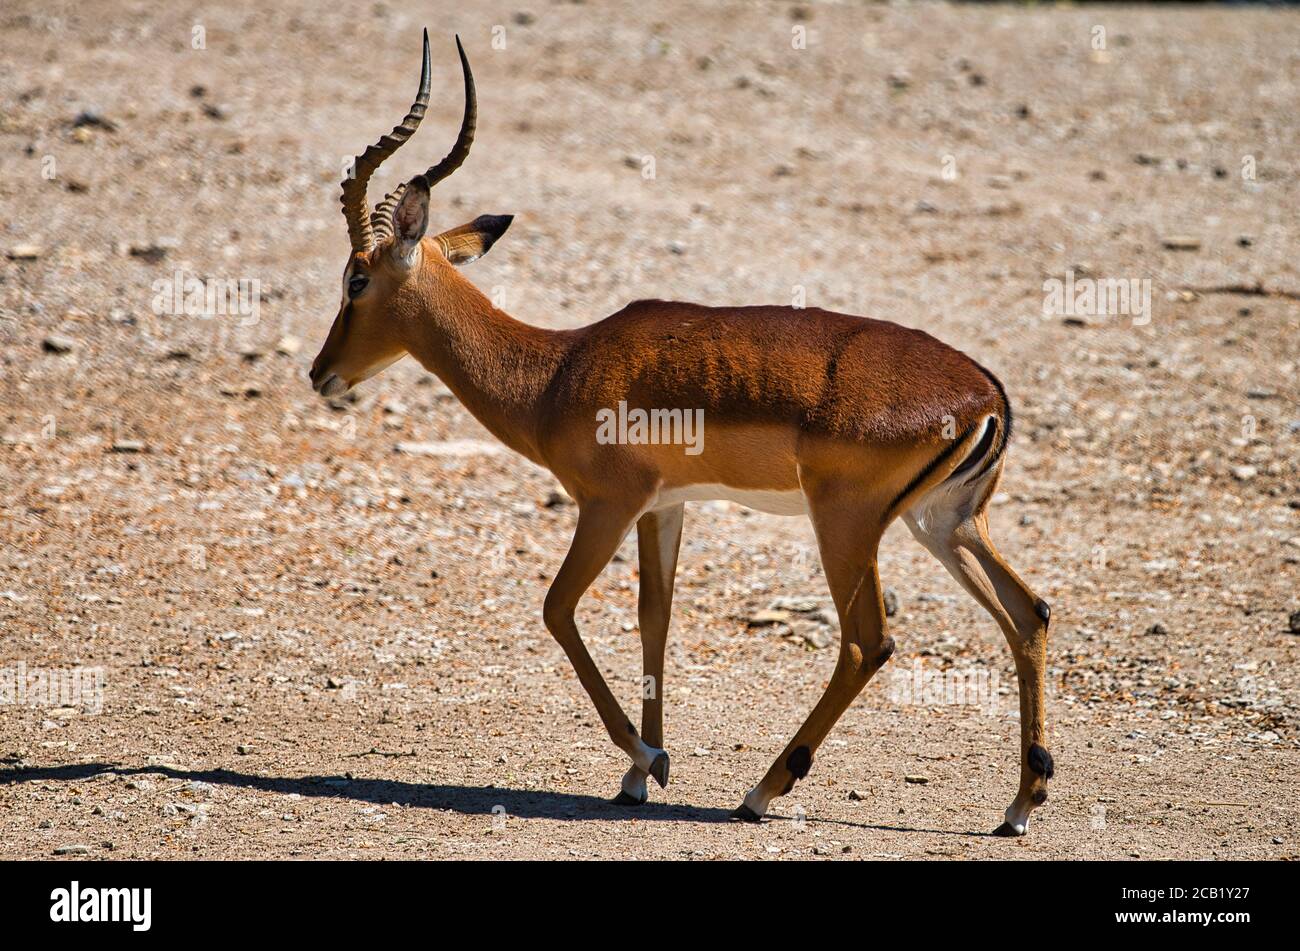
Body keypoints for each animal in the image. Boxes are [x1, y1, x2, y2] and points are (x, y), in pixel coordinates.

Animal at [311, 31, 1054, 835]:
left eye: (356, 279)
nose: (321, 373)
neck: (558, 370)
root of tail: (986, 394)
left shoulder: (606, 504)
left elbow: (556, 608)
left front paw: (650, 758)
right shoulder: (664, 506)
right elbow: (653, 617)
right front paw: (638, 775)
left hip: (848, 523)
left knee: (868, 641)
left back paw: (761, 792)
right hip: (943, 522)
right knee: (1027, 613)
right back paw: (1019, 804)